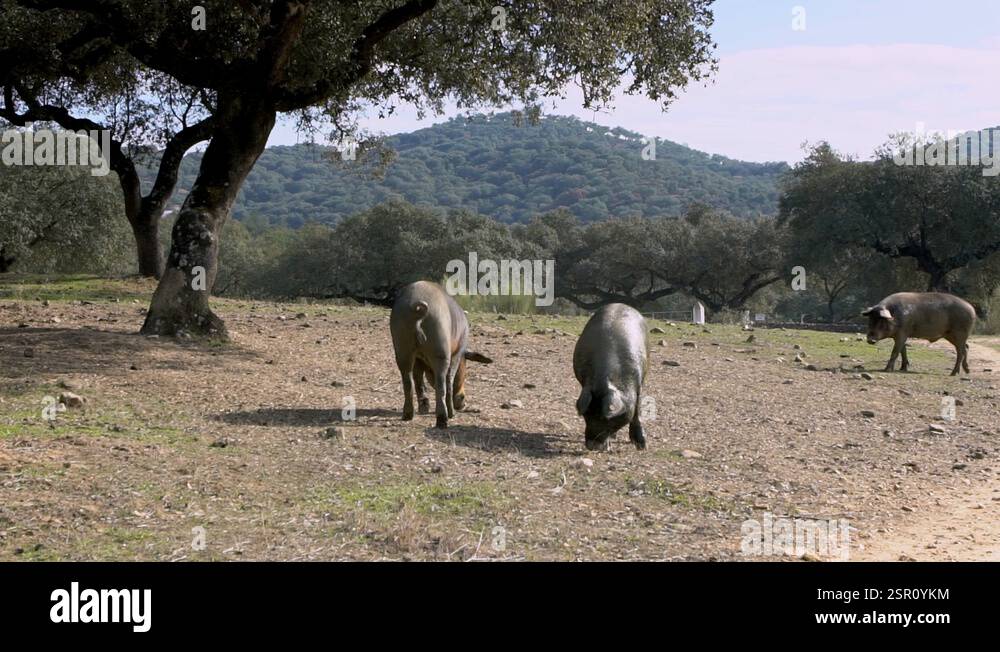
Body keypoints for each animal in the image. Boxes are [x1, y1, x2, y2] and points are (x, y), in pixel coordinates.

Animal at [390, 281, 492, 428]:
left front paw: (424, 408)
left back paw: (408, 415)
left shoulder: (418, 359)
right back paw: (444, 418)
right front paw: (451, 413)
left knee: (408, 381)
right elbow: (450, 379)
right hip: (441, 348)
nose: (463, 402)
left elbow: (419, 380)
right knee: (442, 383)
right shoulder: (457, 353)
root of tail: (418, 310)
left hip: (402, 347)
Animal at [573, 303, 650, 451]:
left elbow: (636, 411)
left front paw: (641, 446)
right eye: (586, 415)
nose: (592, 446)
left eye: (606, 418)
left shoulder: (639, 384)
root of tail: (620, 304)